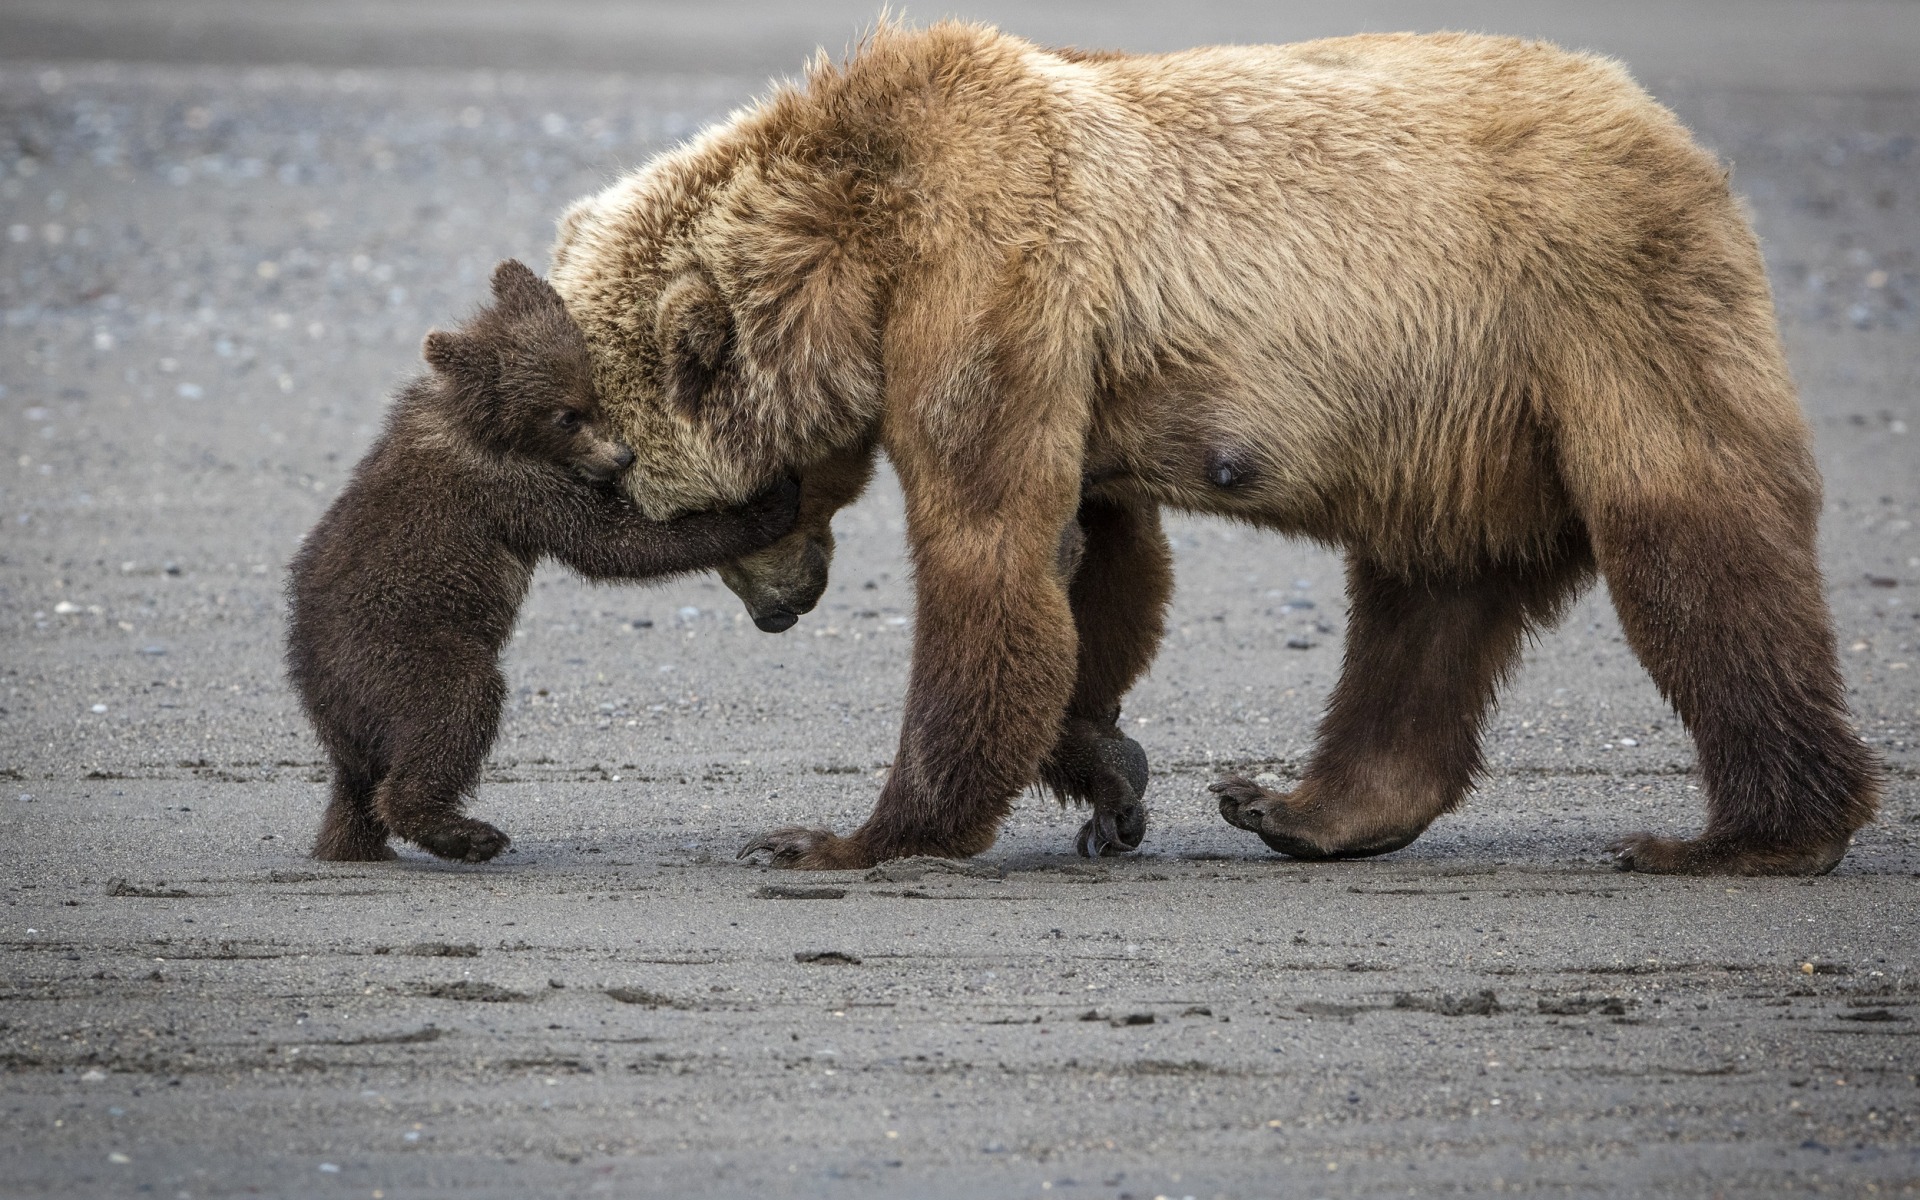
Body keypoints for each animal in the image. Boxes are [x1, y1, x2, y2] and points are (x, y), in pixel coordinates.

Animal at [286, 259, 799, 863]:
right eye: (565, 416)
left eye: (593, 394)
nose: (622, 456)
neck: (482, 425)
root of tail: (319, 694)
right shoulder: (512, 486)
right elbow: (612, 543)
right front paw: (769, 502)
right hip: (399, 651)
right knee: (456, 705)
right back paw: (464, 832)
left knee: (357, 785)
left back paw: (354, 844)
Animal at [547, 21, 1881, 875]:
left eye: (693, 510)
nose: (781, 610)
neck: (856, 240)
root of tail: (1677, 136)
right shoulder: (1066, 355)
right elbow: (1093, 564)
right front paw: (1109, 774)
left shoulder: (991, 275)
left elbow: (990, 550)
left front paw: (846, 835)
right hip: (1457, 421)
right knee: (1428, 599)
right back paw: (1302, 806)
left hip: (1593, 313)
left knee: (1694, 545)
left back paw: (1751, 835)